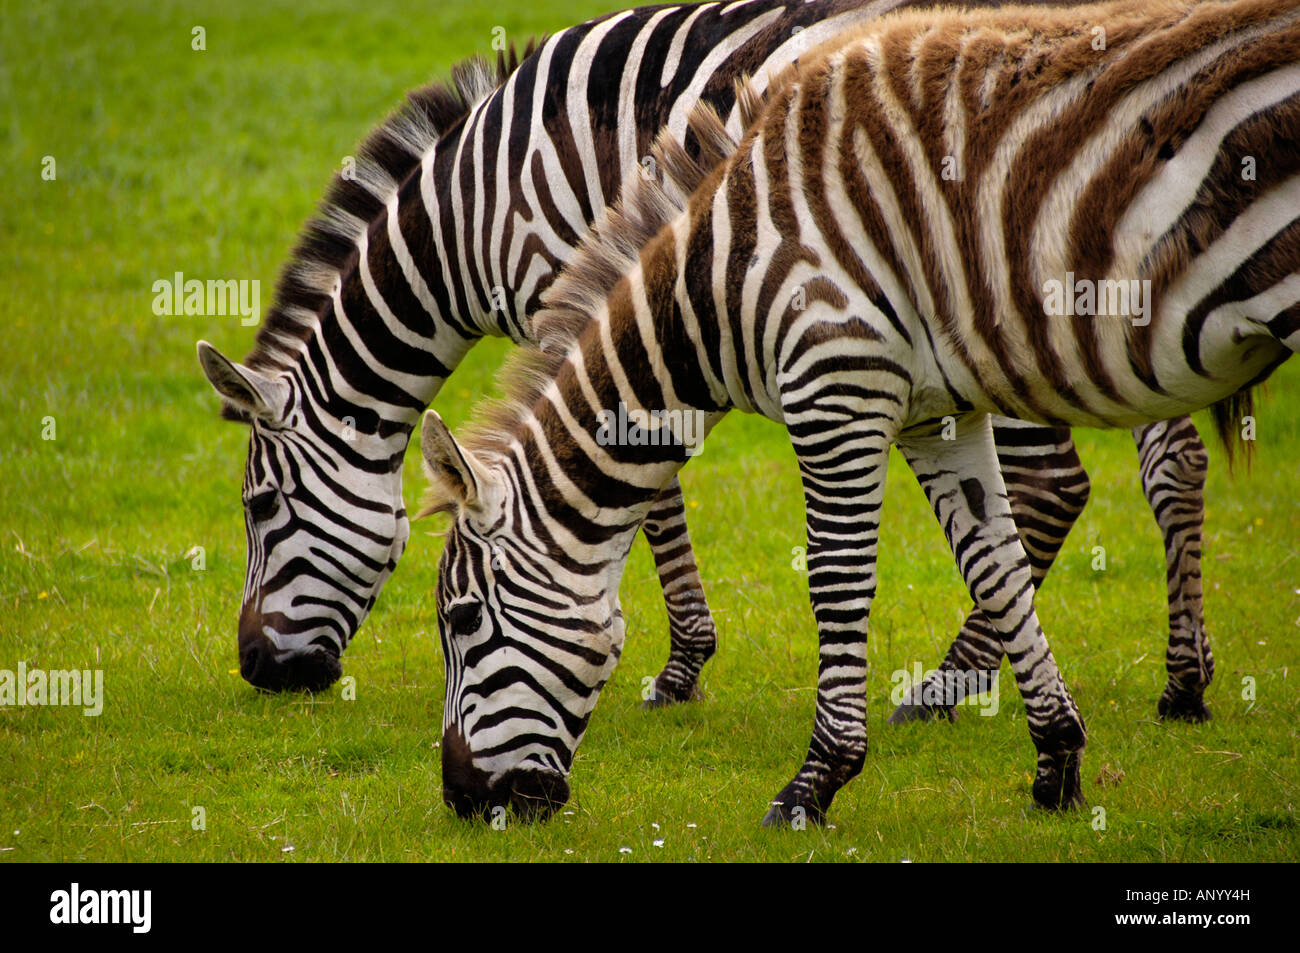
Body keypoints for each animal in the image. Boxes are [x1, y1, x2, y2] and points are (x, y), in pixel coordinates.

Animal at [195, 0, 1213, 718]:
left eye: (259, 506)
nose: (258, 671)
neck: (475, 210)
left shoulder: (581, 293)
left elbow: (646, 496)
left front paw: (681, 663)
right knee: (1173, 459)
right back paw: (1184, 679)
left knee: (1055, 485)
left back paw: (953, 683)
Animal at [417, 0, 1299, 824]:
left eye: (462, 619)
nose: (461, 798)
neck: (723, 273)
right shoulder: (936, 416)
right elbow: (995, 563)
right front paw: (1057, 762)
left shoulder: (835, 384)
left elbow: (833, 577)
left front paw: (813, 780)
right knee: (1157, 465)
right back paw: (1175, 683)